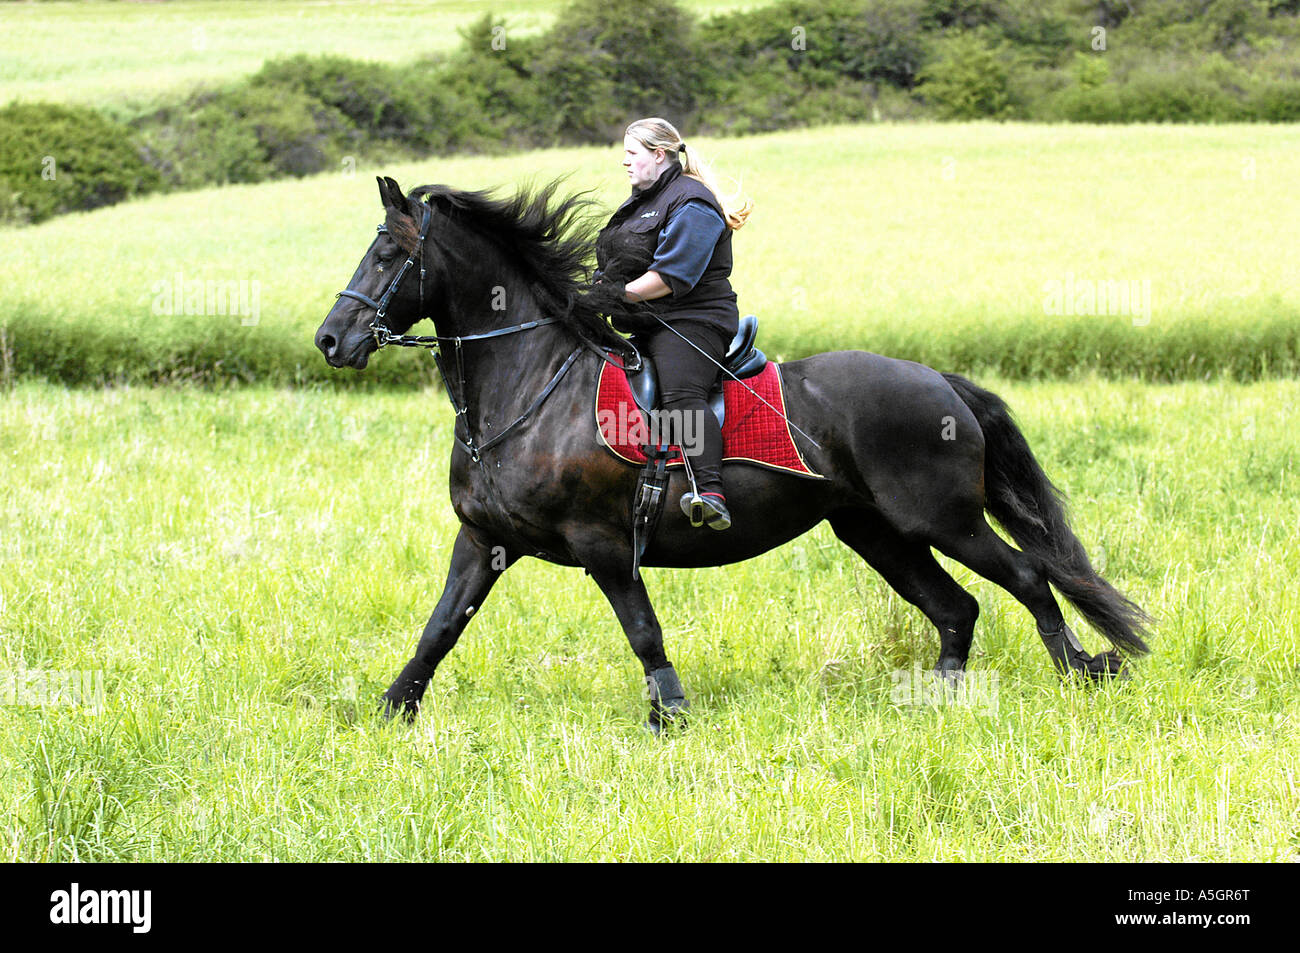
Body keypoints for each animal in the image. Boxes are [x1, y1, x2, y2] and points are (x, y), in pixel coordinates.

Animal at [315, 176, 1150, 729]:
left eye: (387, 254)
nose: (330, 340)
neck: (530, 389)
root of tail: (941, 381)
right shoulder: (483, 538)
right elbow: (440, 627)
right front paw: (391, 710)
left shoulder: (603, 543)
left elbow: (644, 631)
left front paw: (672, 716)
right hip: (876, 532)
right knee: (958, 607)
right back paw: (935, 701)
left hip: (944, 520)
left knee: (1029, 577)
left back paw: (1081, 671)